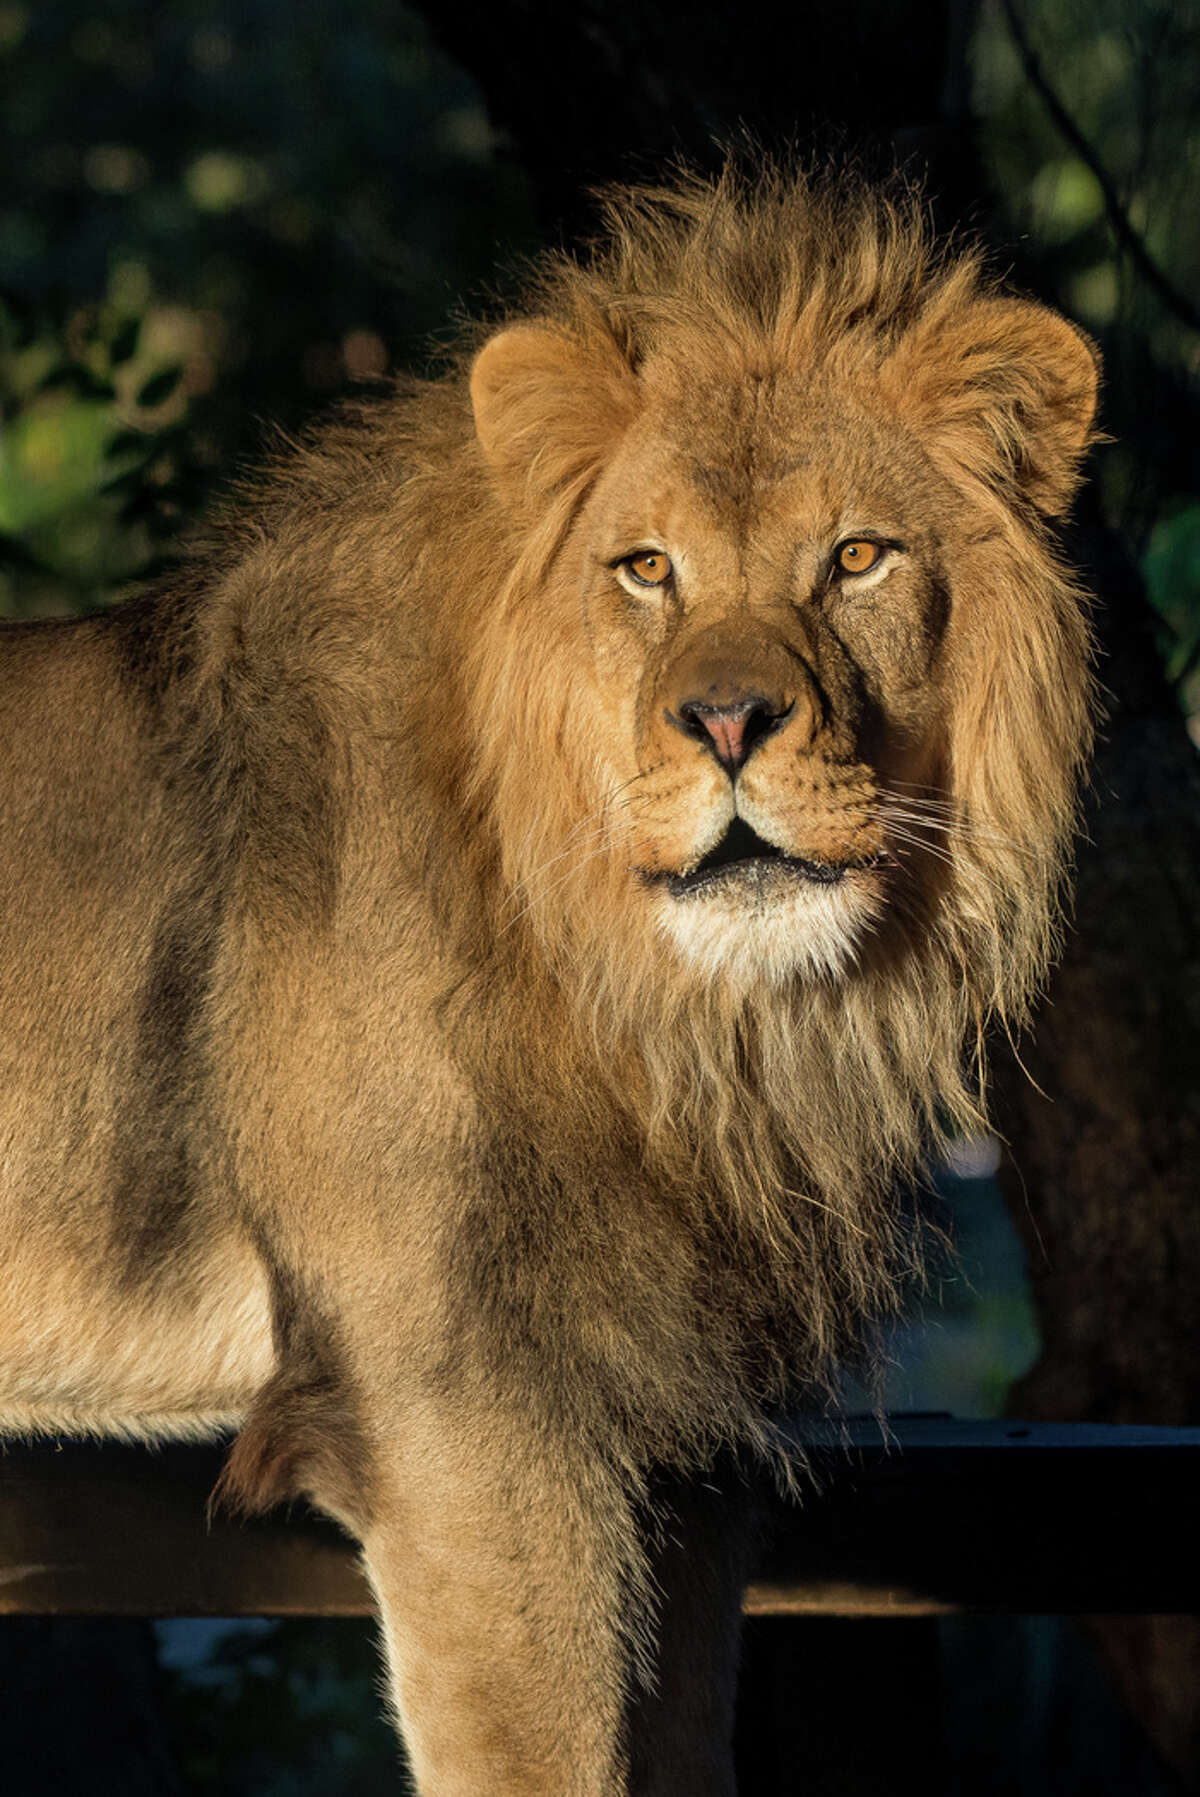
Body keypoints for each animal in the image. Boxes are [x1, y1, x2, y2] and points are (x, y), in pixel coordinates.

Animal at [0, 163, 1097, 1793]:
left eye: (857, 557)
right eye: (646, 569)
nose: (726, 720)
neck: (695, 1025)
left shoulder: (685, 1444)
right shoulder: (466, 1417)